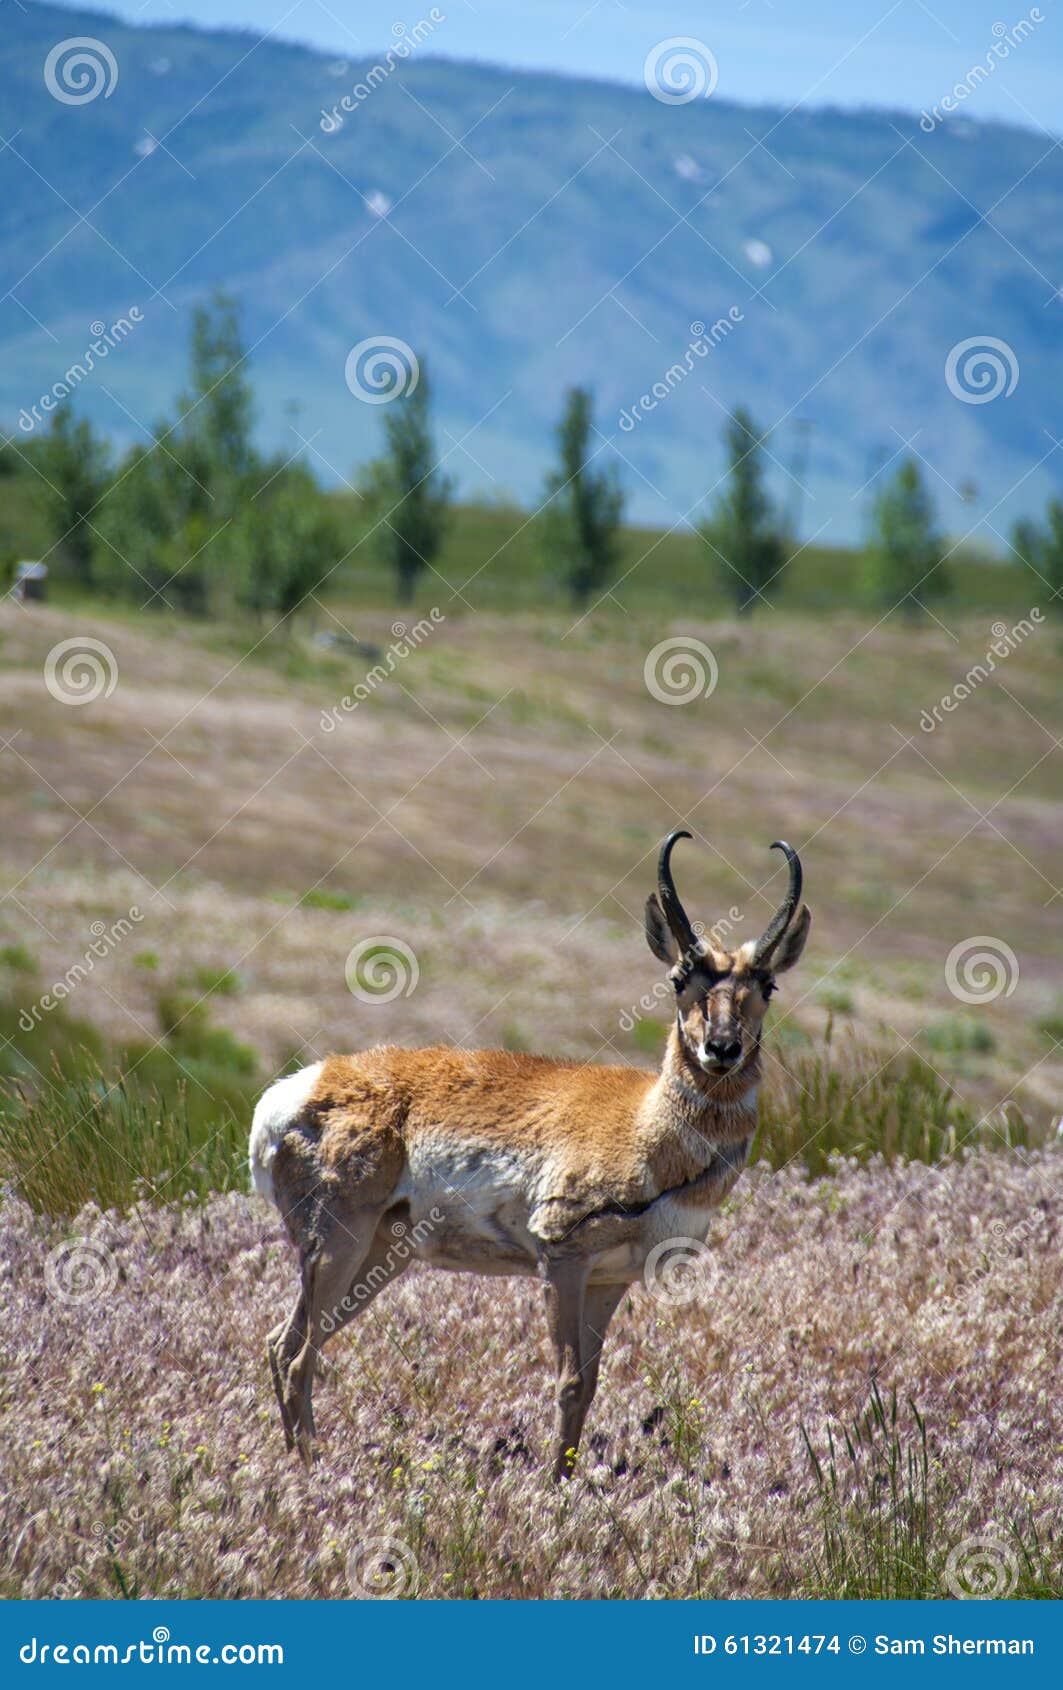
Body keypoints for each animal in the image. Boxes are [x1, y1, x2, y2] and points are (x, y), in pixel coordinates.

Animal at [249, 831, 810, 1479]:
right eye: (678, 979)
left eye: (767, 986)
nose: (721, 1049)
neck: (645, 1126)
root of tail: (297, 1089)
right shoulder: (561, 1260)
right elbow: (568, 1382)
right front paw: (553, 1487)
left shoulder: (608, 1280)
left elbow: (590, 1386)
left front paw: (566, 1480)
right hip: (339, 1244)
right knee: (298, 1356)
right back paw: (314, 1475)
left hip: (379, 1256)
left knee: (281, 1344)